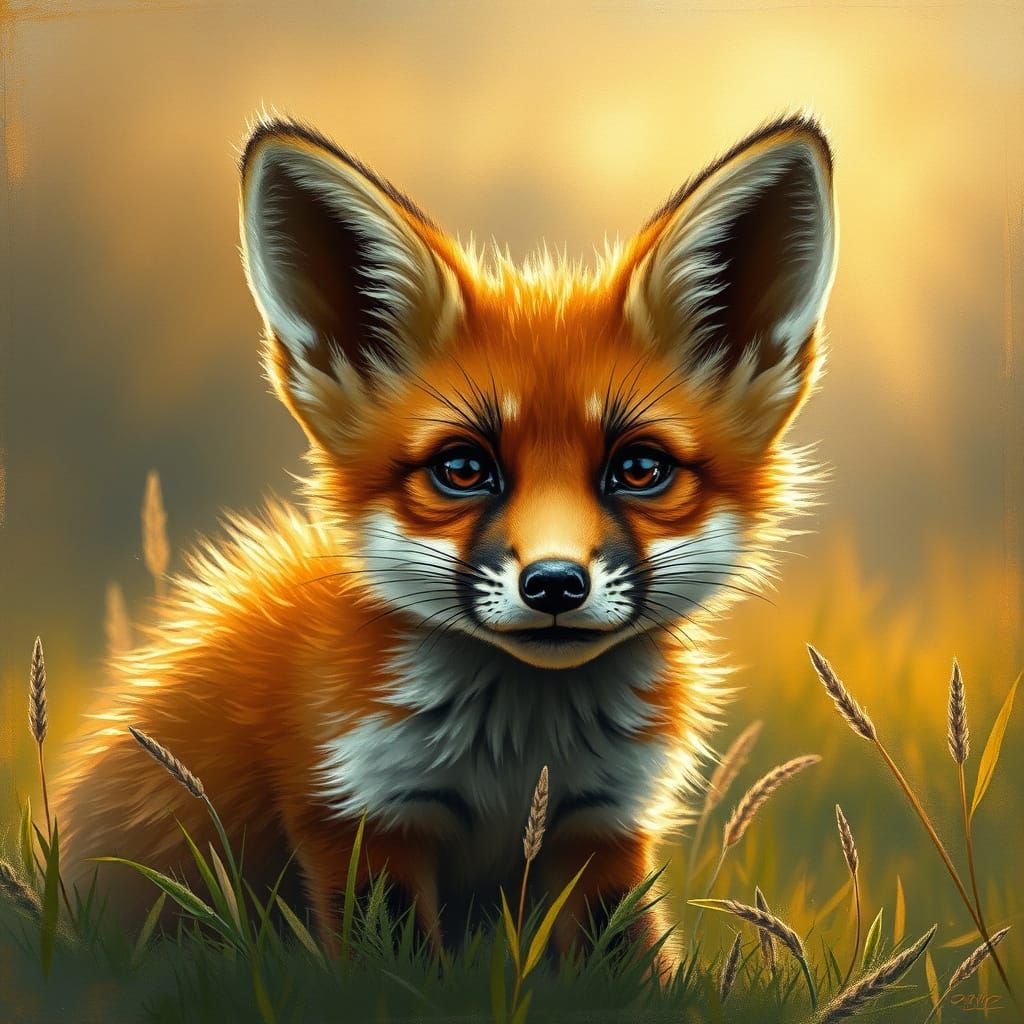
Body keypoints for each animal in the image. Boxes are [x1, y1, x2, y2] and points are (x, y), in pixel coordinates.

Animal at [56, 113, 837, 962]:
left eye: (639, 468)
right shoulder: (360, 814)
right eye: (463, 469)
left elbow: (628, 961)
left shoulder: (603, 826)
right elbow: (397, 966)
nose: (555, 584)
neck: (520, 757)